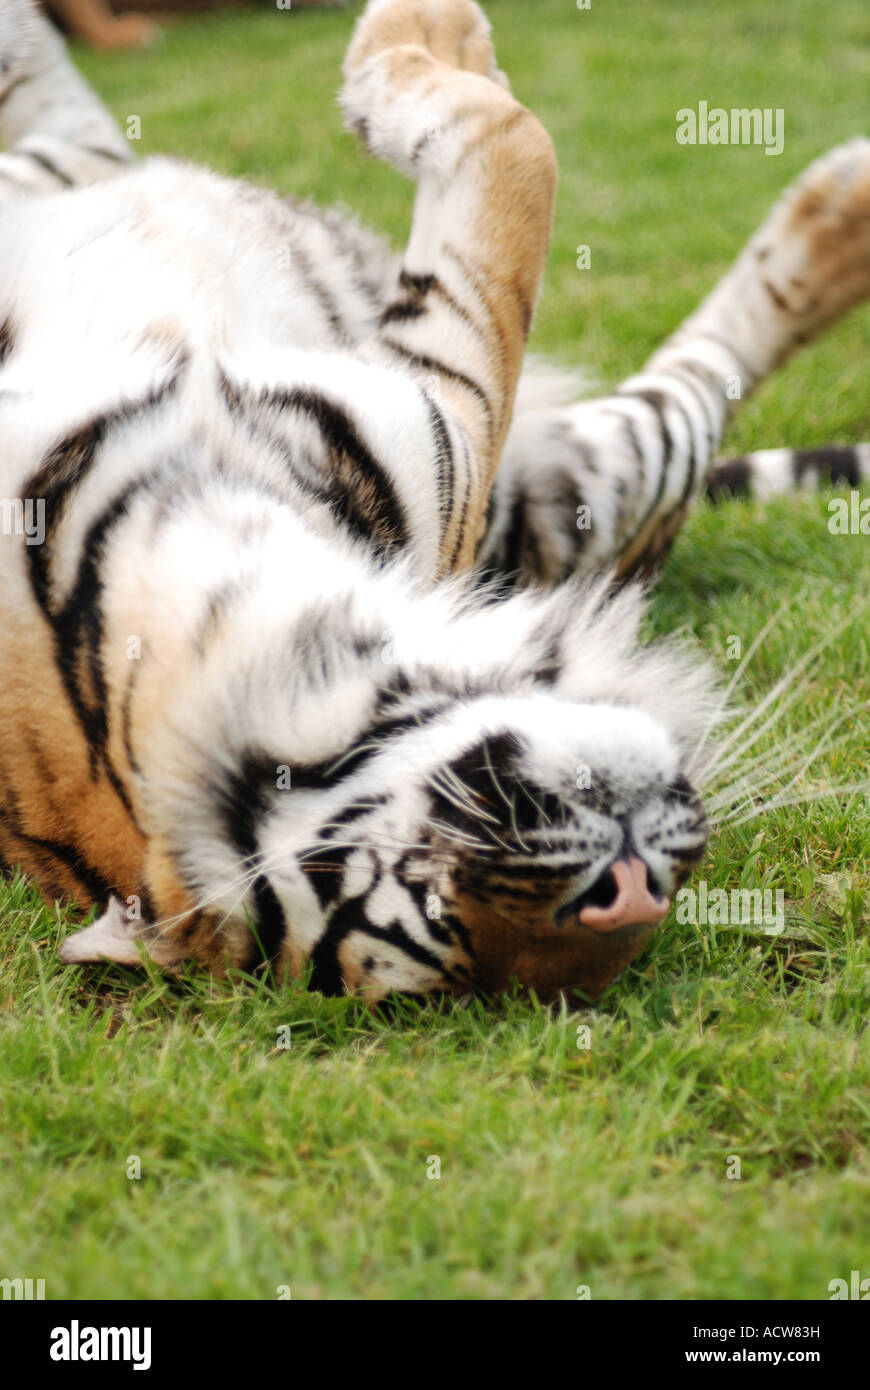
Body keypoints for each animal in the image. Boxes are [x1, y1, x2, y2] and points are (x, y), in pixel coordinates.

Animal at [0, 0, 868, 1004]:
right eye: (441, 920)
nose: (636, 894)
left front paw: (429, 37)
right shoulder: (450, 413)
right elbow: (514, 157)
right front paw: (429, 42)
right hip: (577, 493)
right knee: (683, 411)